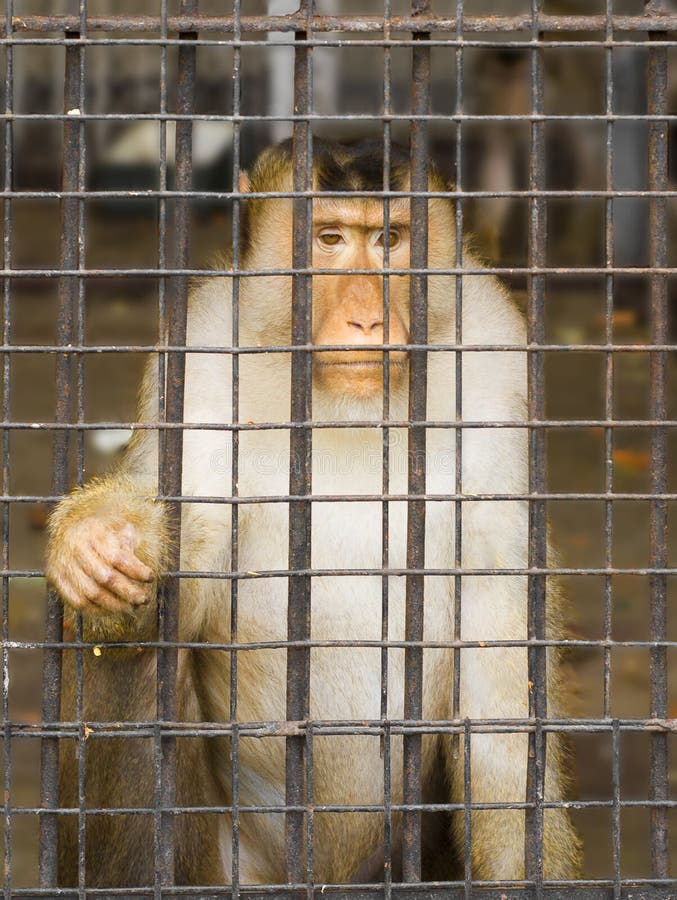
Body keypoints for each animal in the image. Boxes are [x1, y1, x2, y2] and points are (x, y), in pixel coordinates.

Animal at [46, 137, 582, 888]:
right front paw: (96, 540)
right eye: (328, 239)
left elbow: (500, 672)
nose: (366, 319)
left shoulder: (494, 361)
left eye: (390, 240)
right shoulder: (202, 359)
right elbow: (182, 561)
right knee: (138, 649)